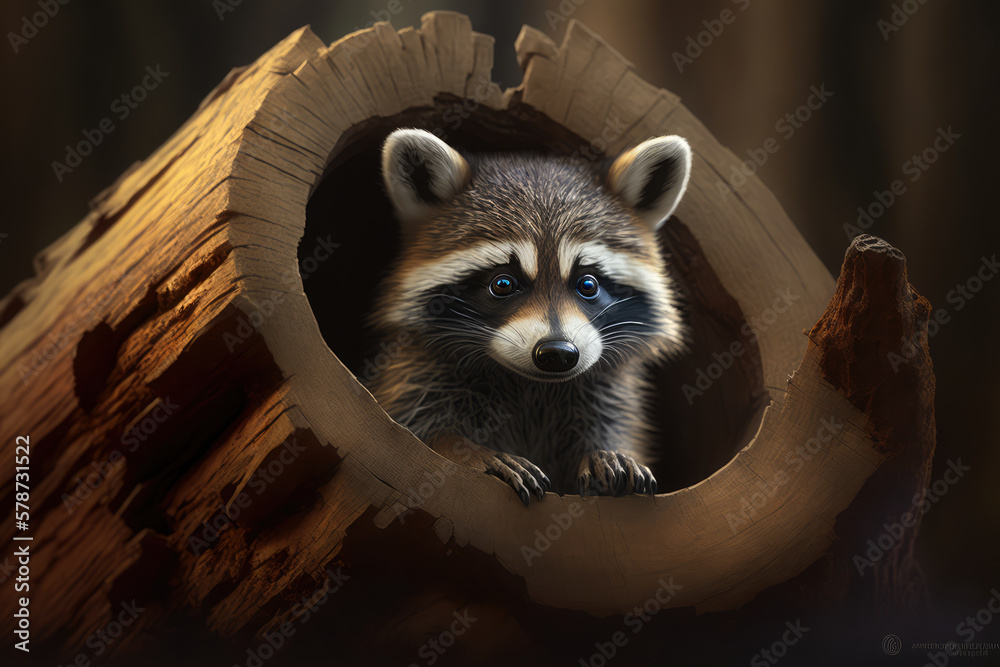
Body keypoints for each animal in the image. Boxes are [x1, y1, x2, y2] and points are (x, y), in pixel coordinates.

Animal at [366, 128, 691, 505]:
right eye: (503, 283)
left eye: (588, 284)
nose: (558, 354)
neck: (533, 387)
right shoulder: (417, 375)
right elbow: (417, 429)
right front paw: (466, 449)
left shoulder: (606, 395)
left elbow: (611, 425)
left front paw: (606, 453)